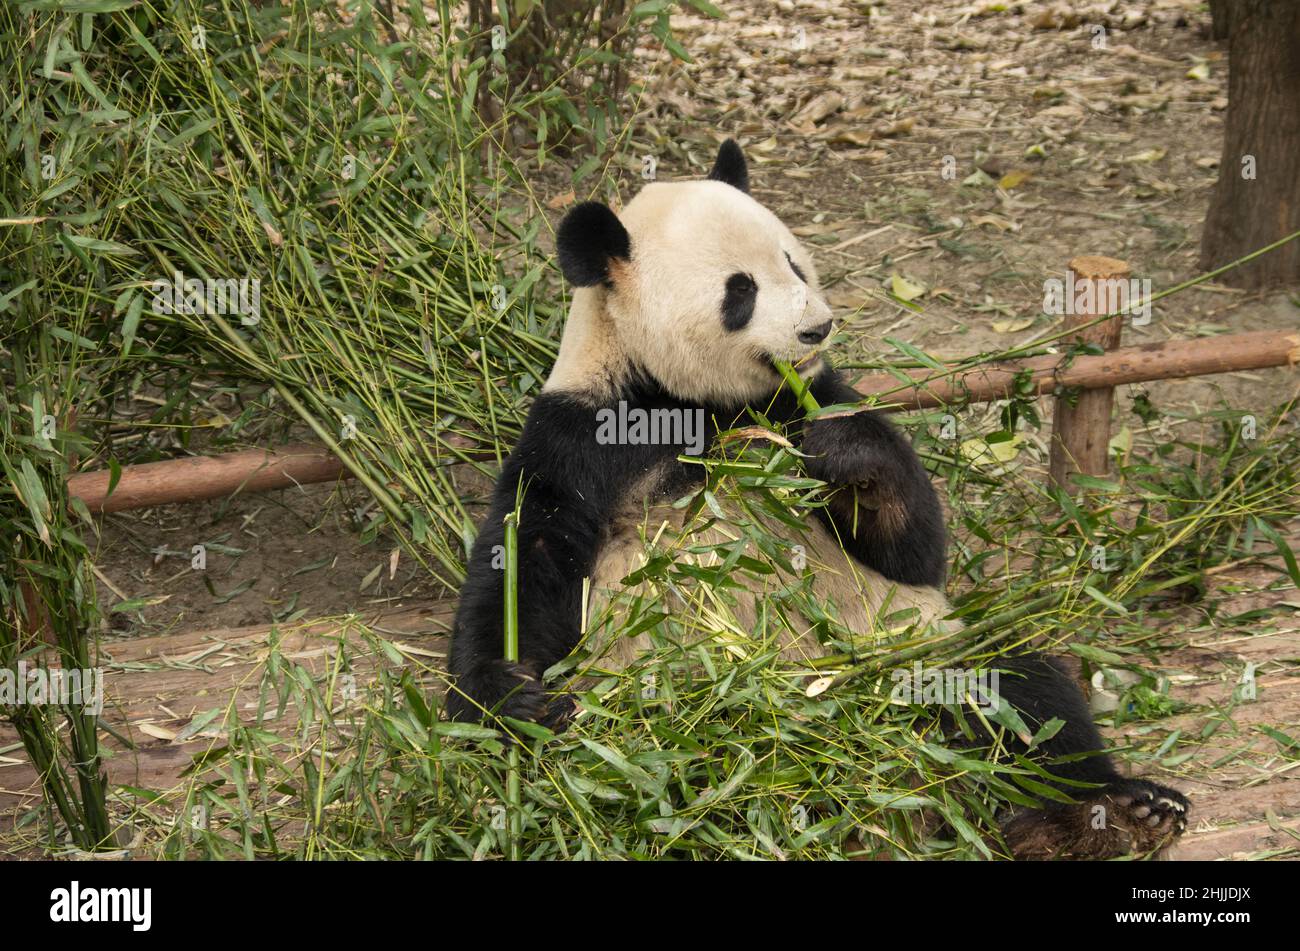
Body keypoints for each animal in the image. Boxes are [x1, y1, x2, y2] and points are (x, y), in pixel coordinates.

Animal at [446, 139, 1189, 859]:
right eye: (740, 291)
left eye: (794, 264)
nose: (817, 329)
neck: (689, 399)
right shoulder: (584, 433)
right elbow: (528, 559)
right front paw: (512, 698)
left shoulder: (814, 397)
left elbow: (914, 550)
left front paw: (845, 454)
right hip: (682, 741)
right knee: (705, 781)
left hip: (920, 651)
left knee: (1022, 694)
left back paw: (1108, 814)